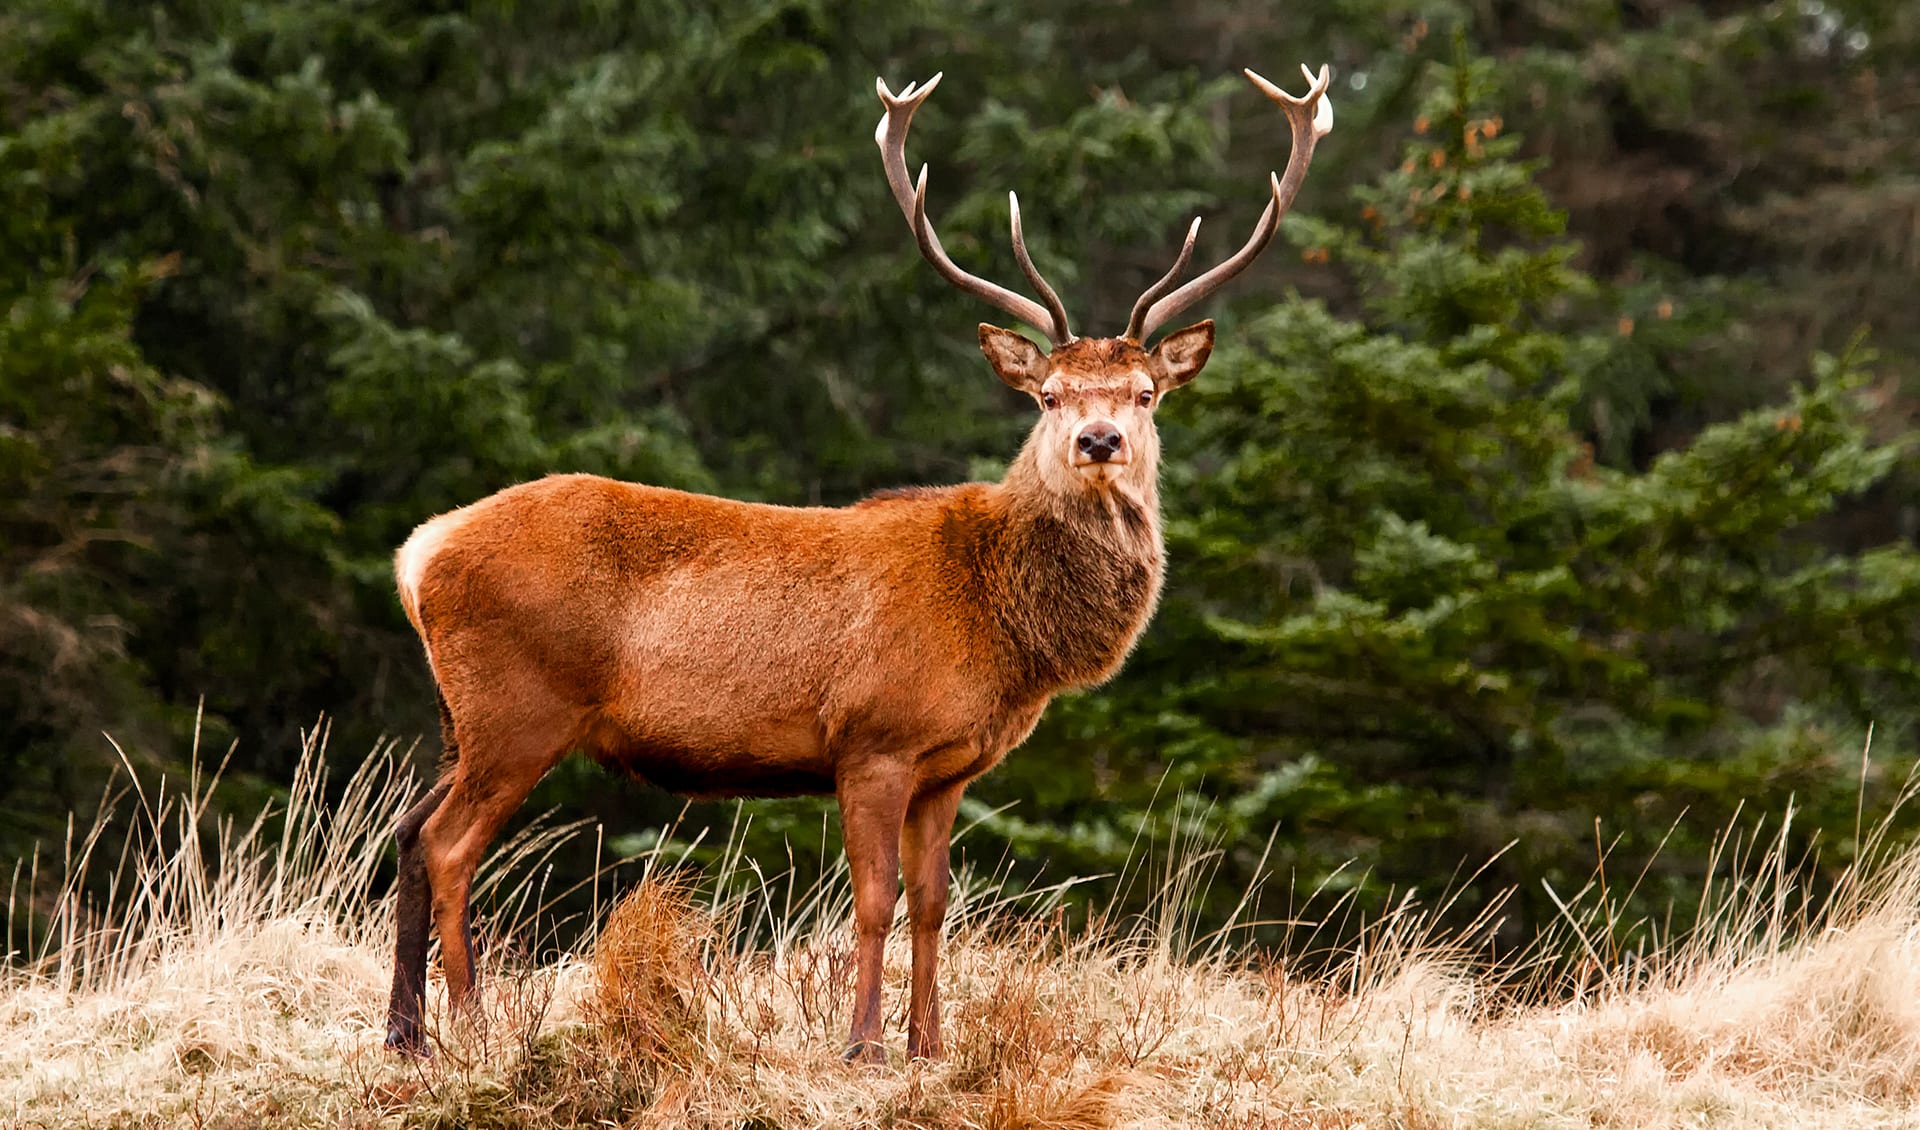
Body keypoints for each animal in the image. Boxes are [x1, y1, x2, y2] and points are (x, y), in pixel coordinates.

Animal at [382, 60, 1333, 1064]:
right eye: (1048, 394)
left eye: (1146, 391)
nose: (1100, 438)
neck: (1003, 628)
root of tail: (419, 552)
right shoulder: (875, 737)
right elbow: (874, 902)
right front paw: (862, 1045)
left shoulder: (948, 769)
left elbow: (933, 906)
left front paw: (929, 1045)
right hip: (520, 704)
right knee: (449, 844)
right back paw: (470, 1025)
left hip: (462, 717)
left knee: (407, 830)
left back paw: (405, 1032)